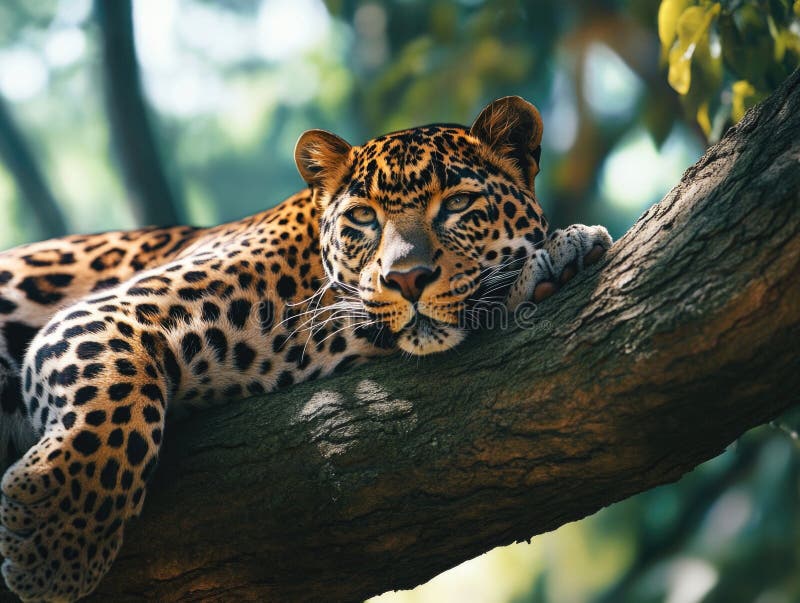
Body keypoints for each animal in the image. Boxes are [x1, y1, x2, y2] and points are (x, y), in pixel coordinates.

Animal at [0, 96, 611, 601]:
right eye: (363, 216)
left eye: (458, 204)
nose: (407, 279)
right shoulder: (115, 308)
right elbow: (115, 391)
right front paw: (55, 539)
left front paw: (552, 259)